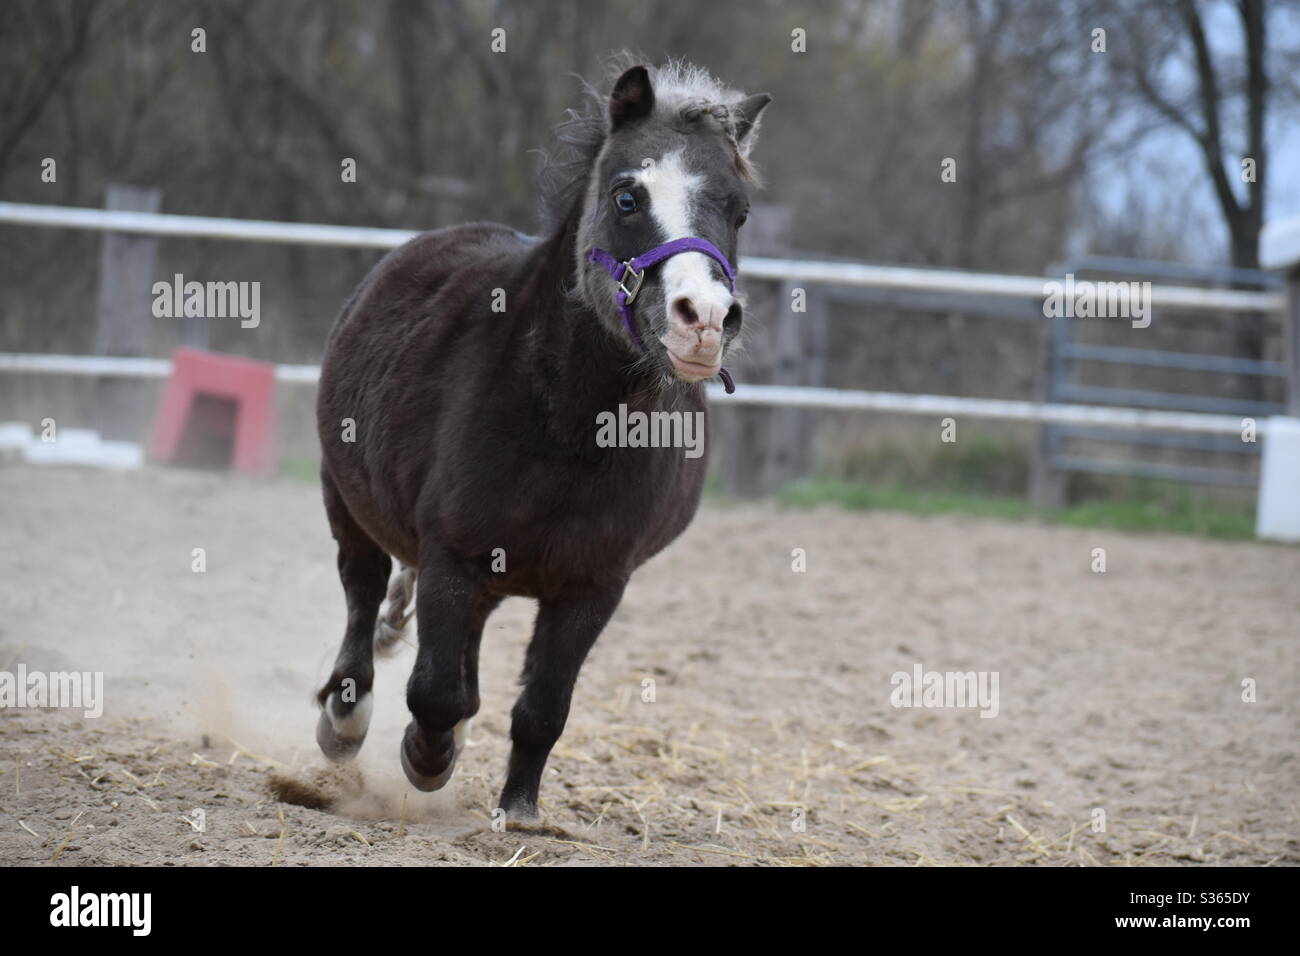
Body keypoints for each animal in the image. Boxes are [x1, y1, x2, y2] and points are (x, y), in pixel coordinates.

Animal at [313, 59, 770, 821]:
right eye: (626, 196)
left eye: (737, 211)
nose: (704, 320)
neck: (571, 423)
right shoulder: (451, 555)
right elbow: (434, 691)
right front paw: (426, 758)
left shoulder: (595, 584)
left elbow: (542, 708)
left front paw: (517, 808)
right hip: (345, 500)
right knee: (362, 589)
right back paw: (345, 720)